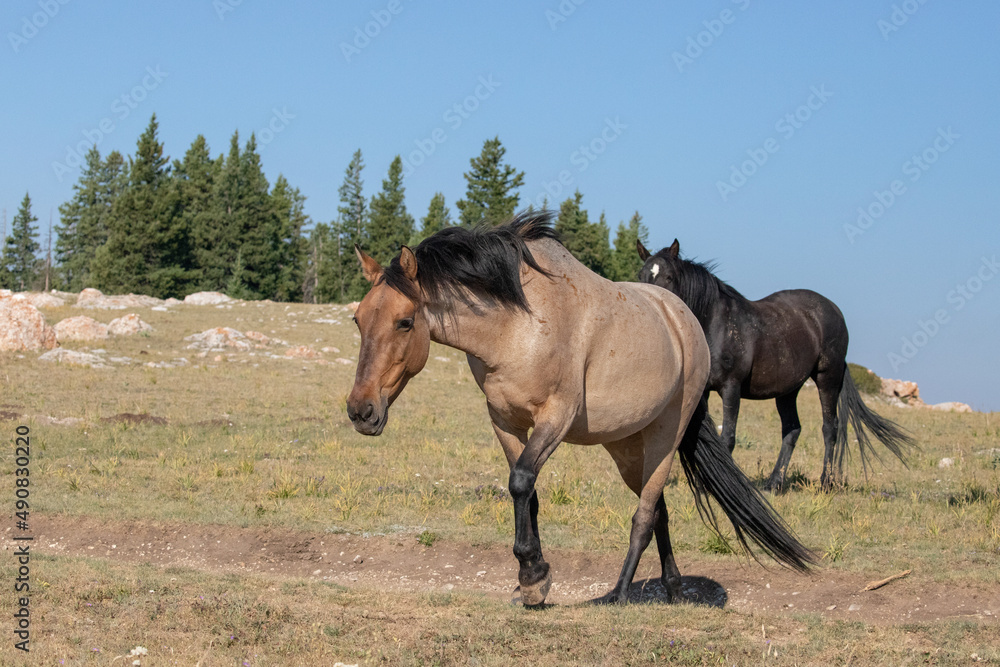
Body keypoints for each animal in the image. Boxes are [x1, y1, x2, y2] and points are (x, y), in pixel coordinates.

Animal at [346, 210, 813, 607]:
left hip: (666, 435)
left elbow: (521, 482)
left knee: (645, 515)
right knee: (658, 510)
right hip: (628, 447)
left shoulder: (555, 417)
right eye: (358, 320)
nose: (361, 411)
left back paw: (618, 595)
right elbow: (528, 492)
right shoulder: (505, 421)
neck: (518, 325)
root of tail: (683, 319)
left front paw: (533, 575)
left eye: (405, 322)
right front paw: (529, 580)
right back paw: (674, 588)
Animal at [636, 238, 914, 492]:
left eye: (669, 277)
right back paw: (774, 483)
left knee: (830, 429)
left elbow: (727, 438)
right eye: (641, 275)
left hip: (828, 378)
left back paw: (825, 483)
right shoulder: (702, 391)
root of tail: (833, 310)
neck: (715, 325)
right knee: (792, 430)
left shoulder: (731, 388)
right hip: (788, 391)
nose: (651, 306)